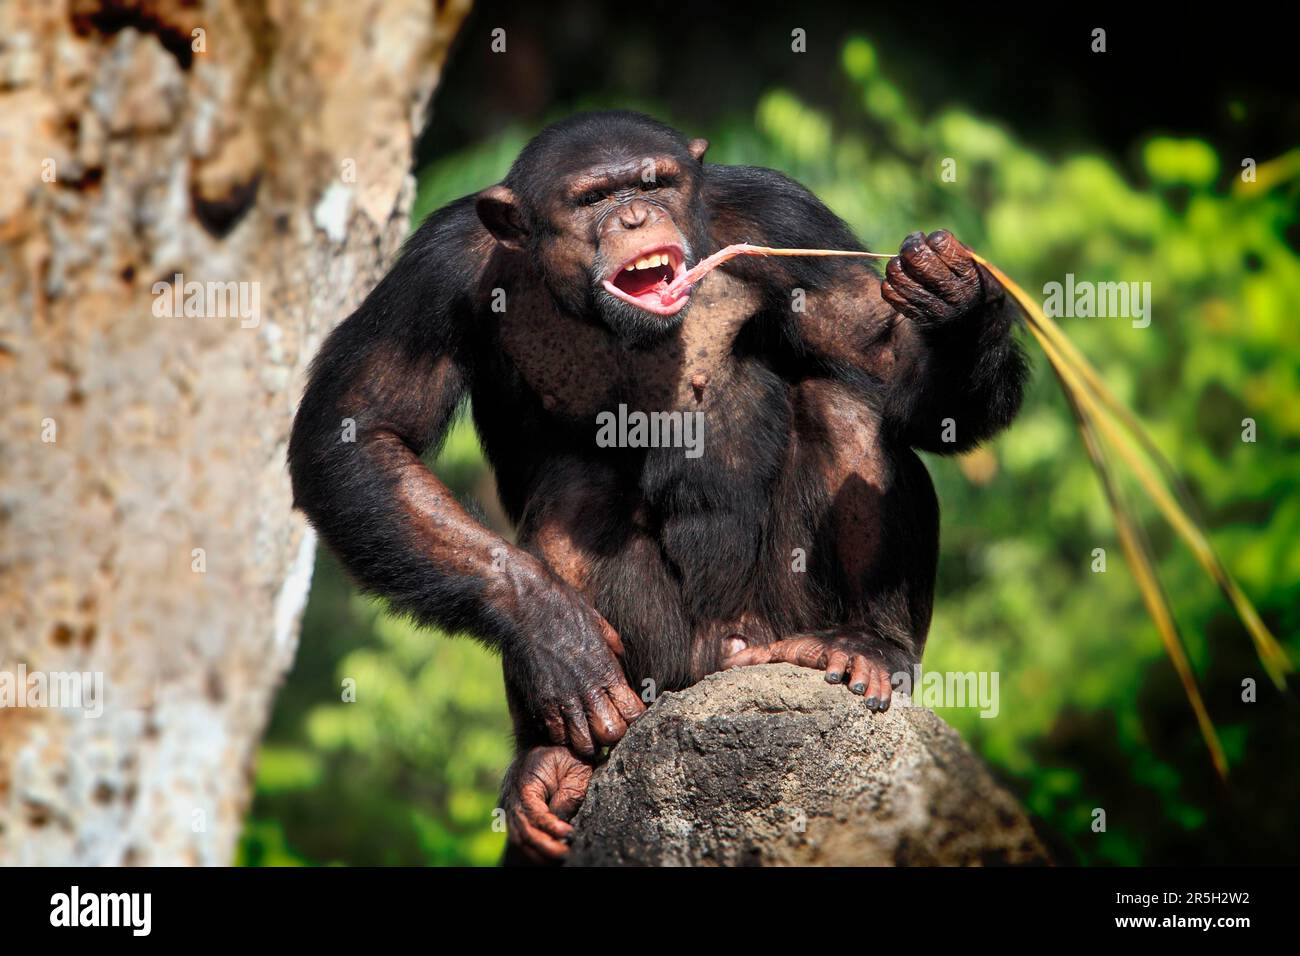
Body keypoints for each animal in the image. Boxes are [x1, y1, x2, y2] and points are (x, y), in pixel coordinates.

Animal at [287, 110, 1027, 864]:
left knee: (844, 405)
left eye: (655, 183)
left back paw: (868, 646)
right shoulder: (436, 268)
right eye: (593, 198)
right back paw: (553, 761)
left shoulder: (784, 217)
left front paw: (956, 298)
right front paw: (554, 633)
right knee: (575, 493)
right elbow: (363, 430)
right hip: (661, 664)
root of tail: (722, 660)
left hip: (781, 622)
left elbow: (888, 360)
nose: (636, 216)